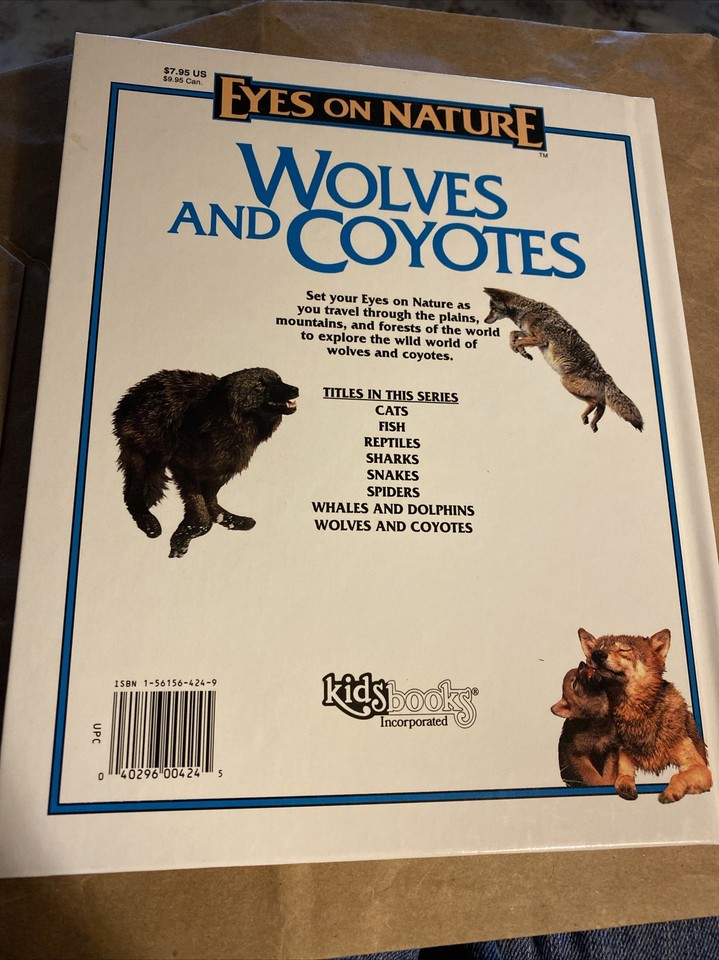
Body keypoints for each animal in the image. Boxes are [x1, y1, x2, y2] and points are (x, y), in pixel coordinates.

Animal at [113, 367, 298, 557]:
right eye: (260, 384)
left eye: (279, 379)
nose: (295, 389)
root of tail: (133, 392)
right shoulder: (181, 466)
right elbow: (202, 515)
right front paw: (182, 539)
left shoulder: (223, 468)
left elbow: (209, 502)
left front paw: (216, 522)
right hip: (146, 459)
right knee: (132, 495)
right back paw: (149, 522)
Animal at [483, 288, 643, 432]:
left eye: (492, 309)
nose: (485, 320)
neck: (525, 309)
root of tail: (606, 376)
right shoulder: (529, 335)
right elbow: (513, 334)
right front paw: (520, 350)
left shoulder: (540, 340)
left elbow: (518, 340)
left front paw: (520, 350)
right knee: (601, 407)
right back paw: (592, 424)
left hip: (566, 383)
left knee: (595, 403)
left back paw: (587, 418)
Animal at [578, 628, 711, 802]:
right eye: (597, 649)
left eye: (624, 649)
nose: (597, 654)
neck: (637, 716)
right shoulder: (623, 756)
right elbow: (623, 776)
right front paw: (626, 786)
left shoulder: (702, 769)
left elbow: (678, 776)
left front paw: (670, 792)